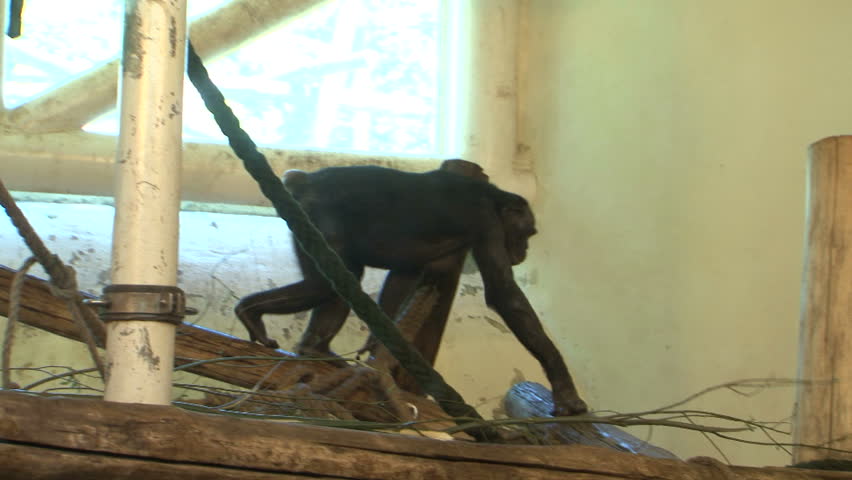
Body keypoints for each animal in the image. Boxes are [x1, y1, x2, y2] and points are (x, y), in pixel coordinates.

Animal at [234, 162, 589, 416]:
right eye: (527, 233)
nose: (524, 250)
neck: (493, 198)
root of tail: (302, 180)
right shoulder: (486, 223)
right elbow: (505, 294)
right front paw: (566, 391)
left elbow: (404, 277)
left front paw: (379, 345)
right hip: (315, 218)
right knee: (327, 280)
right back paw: (250, 312)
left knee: (341, 282)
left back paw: (315, 349)